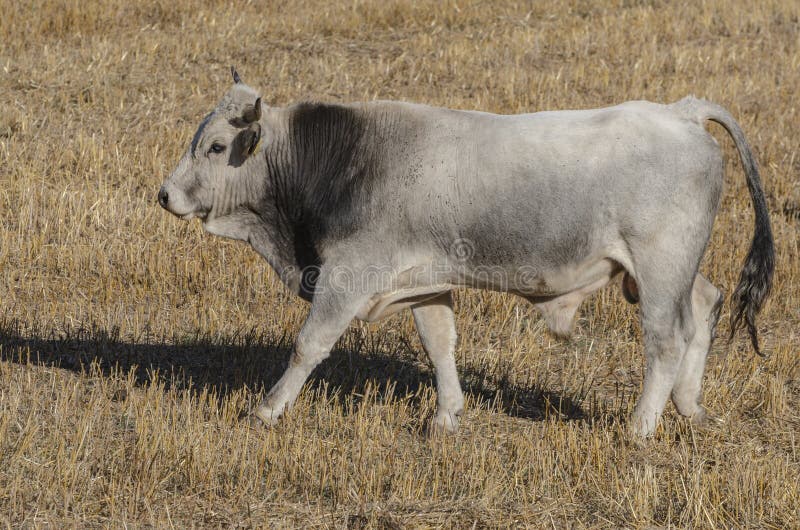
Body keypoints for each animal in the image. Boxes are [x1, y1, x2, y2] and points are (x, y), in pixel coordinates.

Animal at [158, 67, 773, 437]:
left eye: (216, 146)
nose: (165, 195)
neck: (345, 159)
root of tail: (681, 110)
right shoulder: (425, 282)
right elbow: (440, 344)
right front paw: (447, 414)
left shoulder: (346, 278)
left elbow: (308, 346)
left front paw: (266, 409)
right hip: (667, 272)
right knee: (706, 306)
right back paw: (689, 406)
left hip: (659, 271)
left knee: (667, 339)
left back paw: (641, 427)